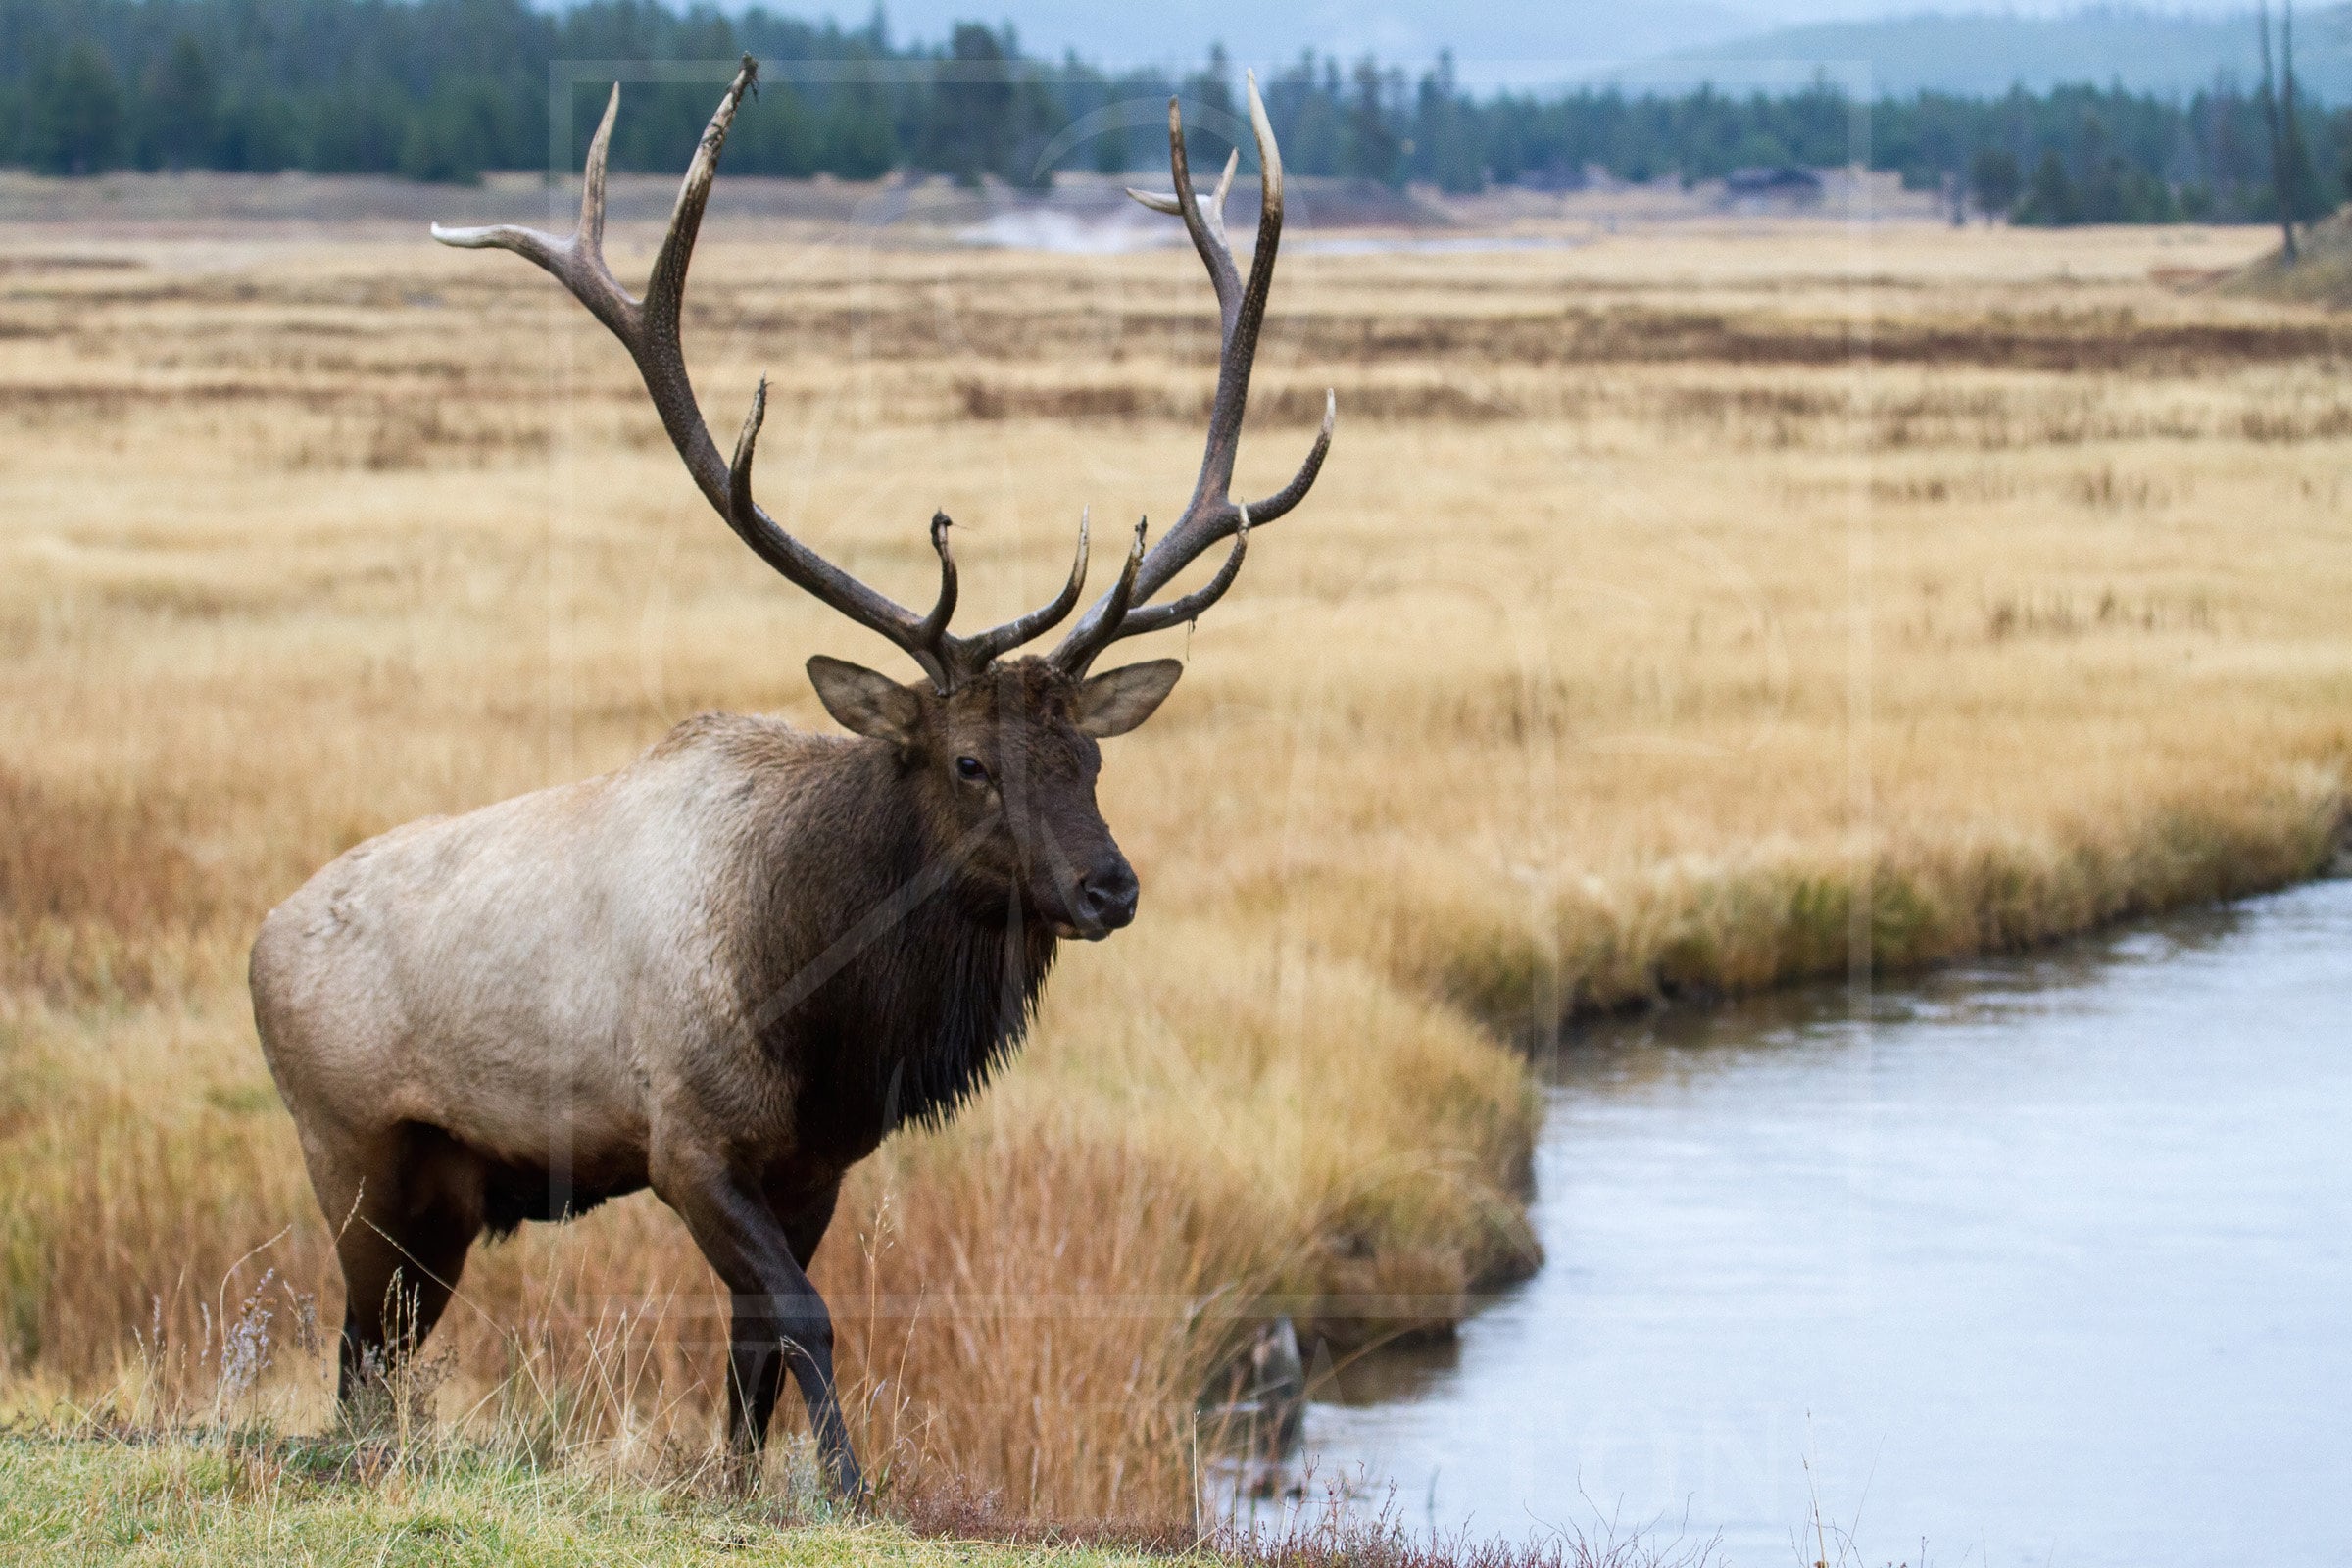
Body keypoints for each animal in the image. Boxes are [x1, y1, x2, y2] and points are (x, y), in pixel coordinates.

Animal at [247, 56, 1331, 1501]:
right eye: (970, 759)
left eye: (1092, 753)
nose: (1109, 887)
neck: (820, 1007)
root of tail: (254, 943)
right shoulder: (684, 1138)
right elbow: (801, 1319)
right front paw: (853, 1484)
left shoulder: (818, 1160)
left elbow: (753, 1349)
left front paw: (742, 1483)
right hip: (352, 1150)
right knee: (357, 1351)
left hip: (448, 1194)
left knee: (382, 1349)